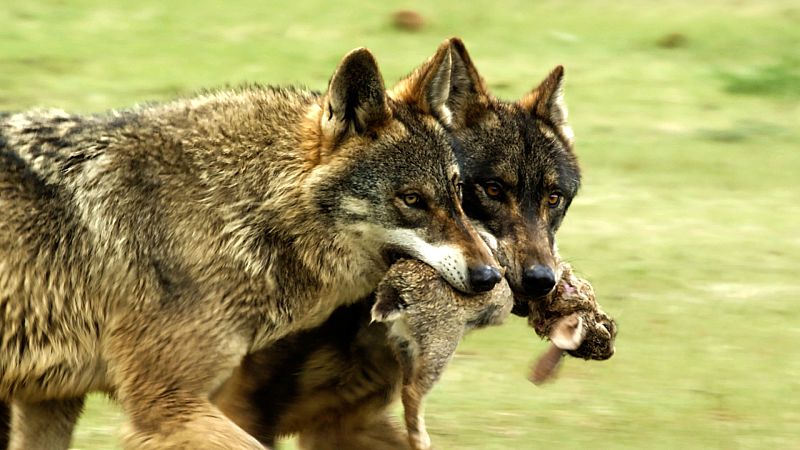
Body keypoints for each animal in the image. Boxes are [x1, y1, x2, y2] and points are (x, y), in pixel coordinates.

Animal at [0, 46, 501, 449]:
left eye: (458, 193)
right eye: (412, 199)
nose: (490, 276)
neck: (236, 211)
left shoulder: (54, 400)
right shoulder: (166, 404)